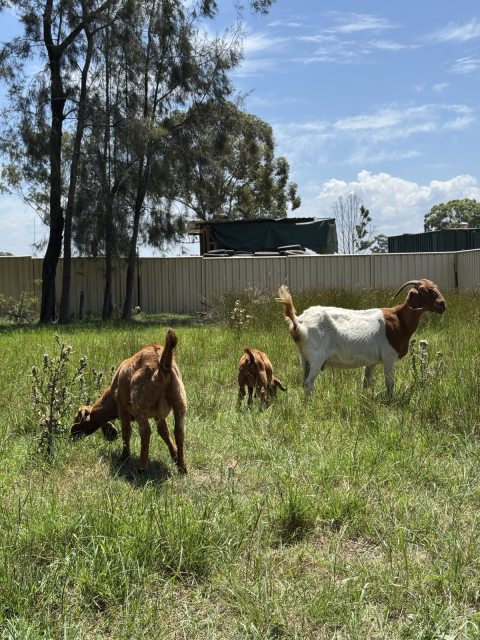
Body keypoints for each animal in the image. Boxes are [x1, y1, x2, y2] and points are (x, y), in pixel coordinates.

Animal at [71, 329, 187, 473]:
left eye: (77, 418)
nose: (72, 435)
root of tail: (162, 364)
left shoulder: (122, 409)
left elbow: (126, 432)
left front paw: (124, 457)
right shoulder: (158, 415)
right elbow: (164, 432)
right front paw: (174, 455)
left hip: (139, 404)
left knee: (145, 431)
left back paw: (141, 467)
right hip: (180, 401)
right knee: (179, 431)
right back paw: (182, 467)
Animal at [276, 279, 446, 398]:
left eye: (436, 287)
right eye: (424, 290)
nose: (442, 304)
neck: (399, 319)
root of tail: (299, 321)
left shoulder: (371, 362)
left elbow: (366, 383)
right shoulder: (389, 357)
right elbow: (390, 383)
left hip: (304, 357)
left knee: (304, 381)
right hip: (317, 357)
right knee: (309, 383)